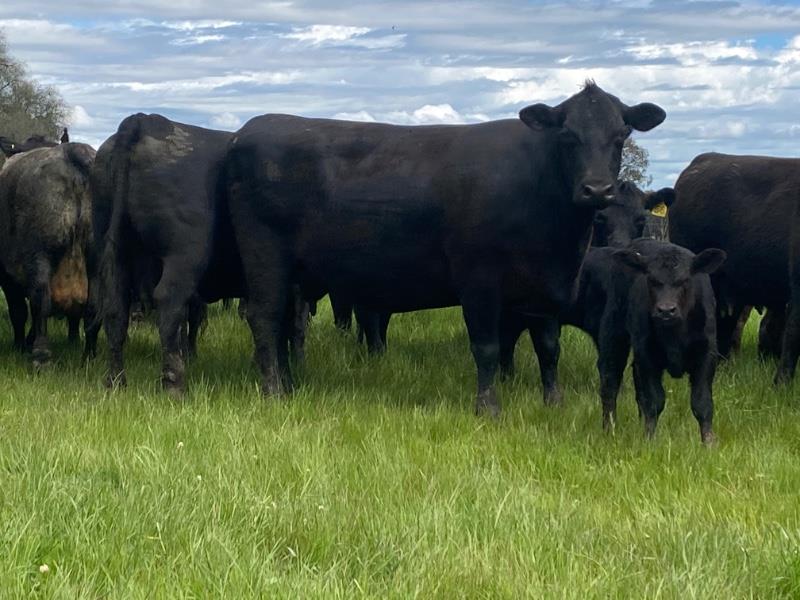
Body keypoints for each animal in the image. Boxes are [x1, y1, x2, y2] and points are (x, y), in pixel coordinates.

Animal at [0, 142, 98, 364]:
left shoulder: (7, 275)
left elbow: (18, 311)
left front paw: (20, 345)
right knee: (95, 306)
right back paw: (89, 356)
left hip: (40, 255)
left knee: (40, 299)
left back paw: (41, 354)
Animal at [92, 114, 245, 393]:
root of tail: (147, 120)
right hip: (183, 258)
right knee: (169, 303)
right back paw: (174, 384)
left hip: (114, 249)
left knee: (116, 309)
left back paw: (116, 382)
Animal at [224, 82, 666, 414]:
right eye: (568, 136)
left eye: (620, 135)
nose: (597, 189)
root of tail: (248, 131)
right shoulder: (479, 279)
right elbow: (486, 347)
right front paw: (488, 408)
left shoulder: (541, 290)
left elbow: (548, 347)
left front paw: (552, 402)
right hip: (266, 257)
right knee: (264, 318)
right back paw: (274, 392)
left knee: (285, 323)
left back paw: (289, 384)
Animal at [613, 239, 726, 443]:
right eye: (651, 280)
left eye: (685, 280)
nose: (666, 310)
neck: (675, 336)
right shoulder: (646, 354)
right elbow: (653, 400)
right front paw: (649, 438)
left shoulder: (707, 354)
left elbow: (702, 402)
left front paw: (708, 441)